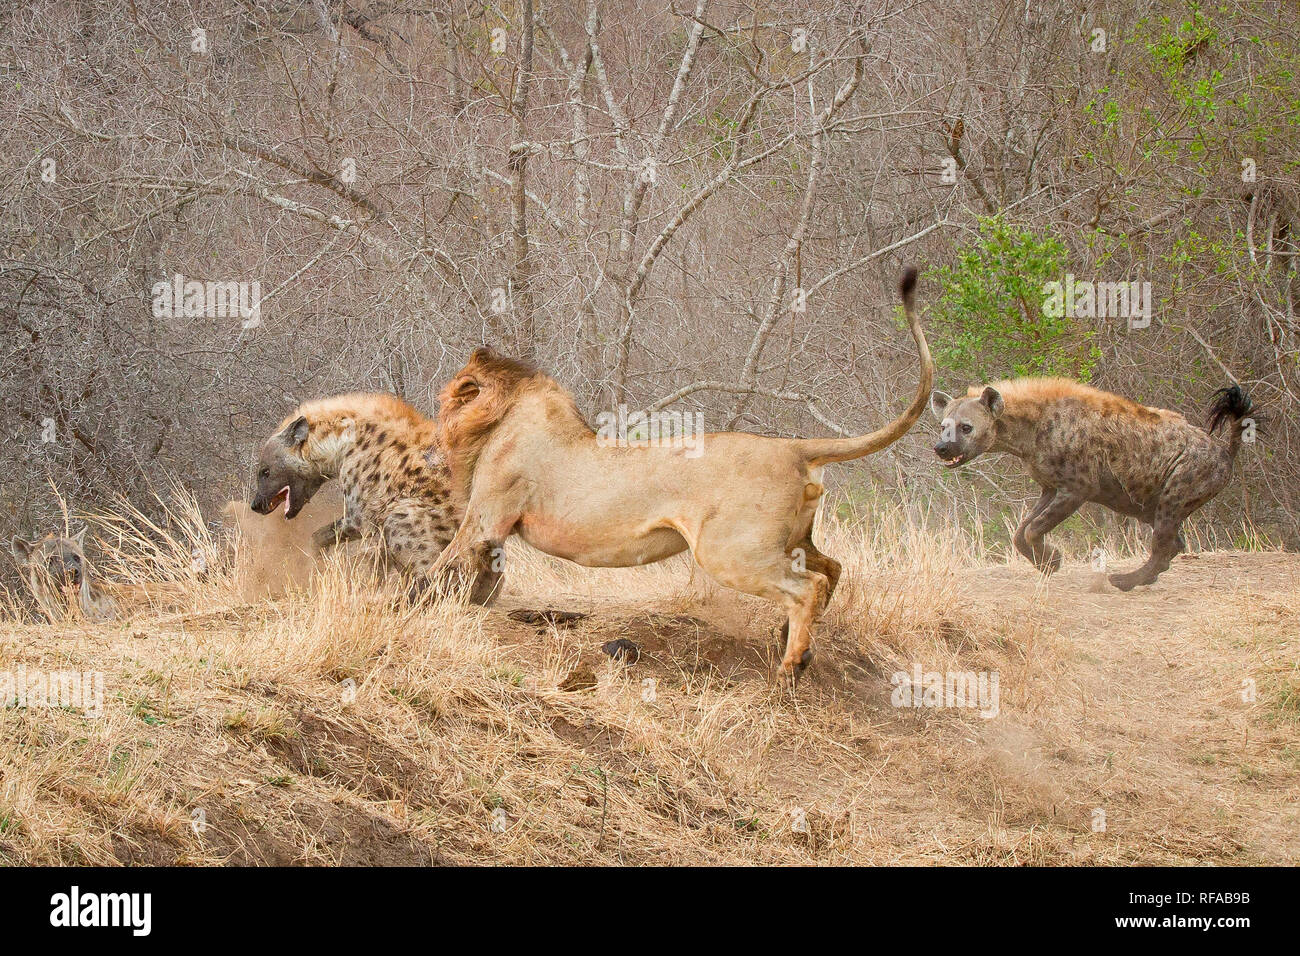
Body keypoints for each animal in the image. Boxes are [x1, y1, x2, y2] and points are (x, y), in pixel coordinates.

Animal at [433, 268, 933, 677]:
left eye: (445, 400)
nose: (433, 436)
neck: (506, 412)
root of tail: (791, 448)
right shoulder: (491, 527)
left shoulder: (487, 517)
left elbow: (445, 561)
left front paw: (421, 596)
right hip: (788, 541)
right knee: (831, 568)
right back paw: (791, 639)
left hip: (729, 551)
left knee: (809, 585)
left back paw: (793, 663)